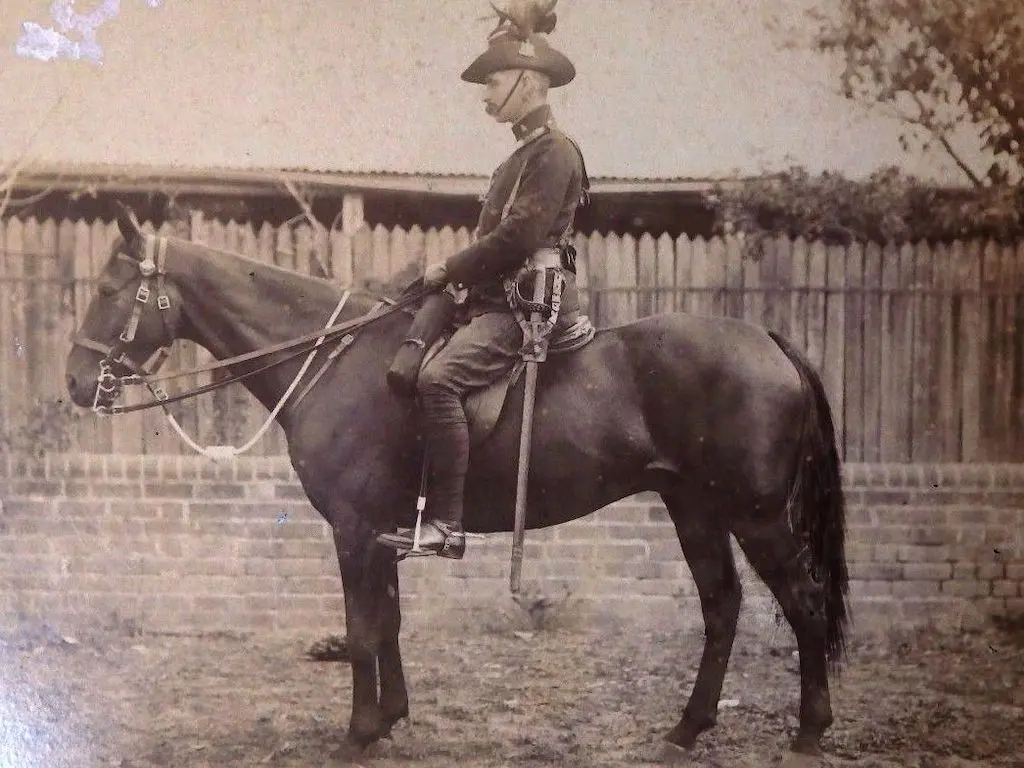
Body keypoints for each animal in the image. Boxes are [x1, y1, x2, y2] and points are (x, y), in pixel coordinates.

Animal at [64, 205, 850, 763]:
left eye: (108, 289)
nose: (75, 383)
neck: (335, 359)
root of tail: (768, 340)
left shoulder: (354, 530)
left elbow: (363, 626)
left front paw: (357, 732)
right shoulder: (383, 531)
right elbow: (388, 621)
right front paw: (390, 718)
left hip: (754, 515)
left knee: (803, 603)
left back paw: (809, 732)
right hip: (695, 510)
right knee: (722, 607)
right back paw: (687, 729)